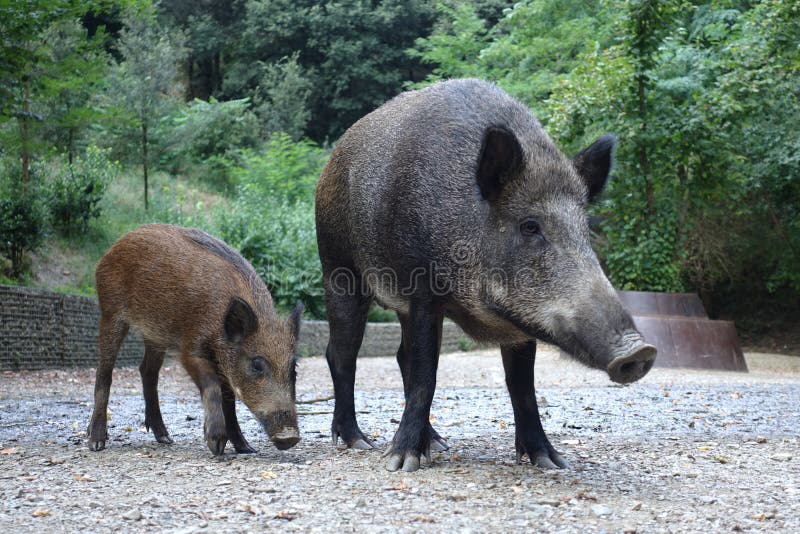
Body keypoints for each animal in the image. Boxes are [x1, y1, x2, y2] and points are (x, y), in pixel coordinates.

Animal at [87, 224, 303, 455]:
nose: (290, 437)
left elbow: (230, 402)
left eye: (294, 368)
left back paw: (165, 438)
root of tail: (115, 246)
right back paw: (96, 442)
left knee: (147, 371)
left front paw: (246, 448)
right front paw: (216, 444)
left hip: (155, 335)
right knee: (104, 372)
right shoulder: (190, 348)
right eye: (256, 365)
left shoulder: (225, 363)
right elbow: (213, 388)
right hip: (110, 312)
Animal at [315, 79, 656, 472]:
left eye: (584, 228)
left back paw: (439, 443)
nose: (640, 350)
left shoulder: (519, 323)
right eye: (530, 225)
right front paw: (402, 462)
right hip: (337, 268)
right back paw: (358, 442)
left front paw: (551, 461)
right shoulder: (423, 291)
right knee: (342, 353)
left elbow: (522, 385)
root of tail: (332, 160)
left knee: (400, 355)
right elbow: (426, 373)